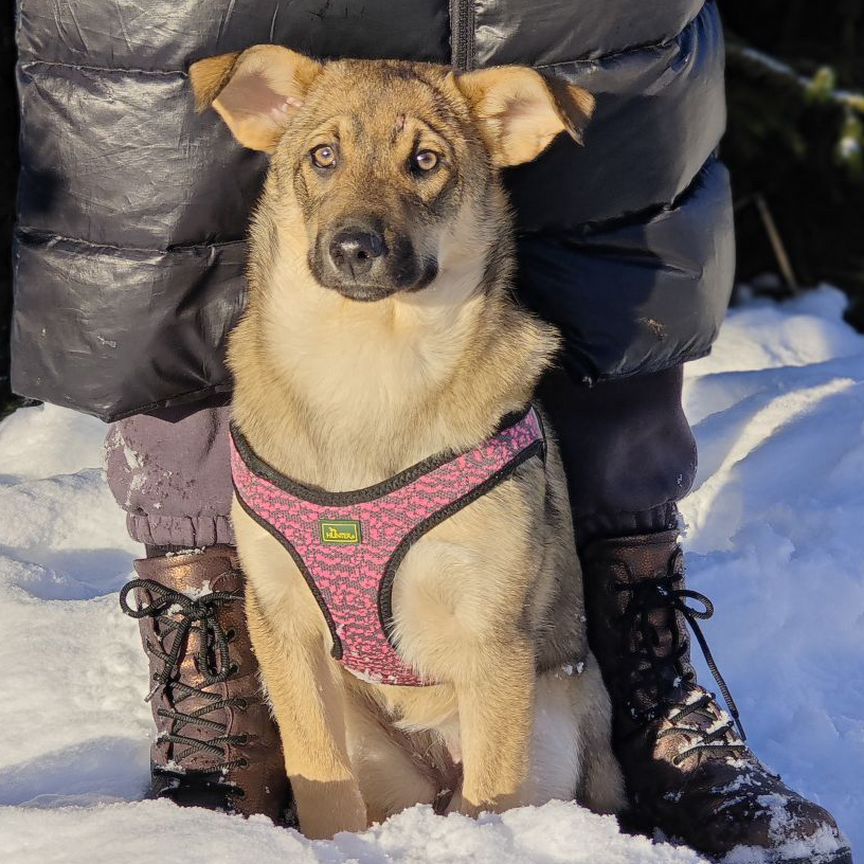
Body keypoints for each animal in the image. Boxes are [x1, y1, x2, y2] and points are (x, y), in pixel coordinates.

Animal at [191, 45, 620, 836]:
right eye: (323, 155)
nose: (355, 247)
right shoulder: (284, 628)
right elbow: (321, 778)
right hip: (377, 744)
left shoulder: (491, 638)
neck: (368, 368)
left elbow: (491, 795)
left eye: (426, 160)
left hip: (550, 720)